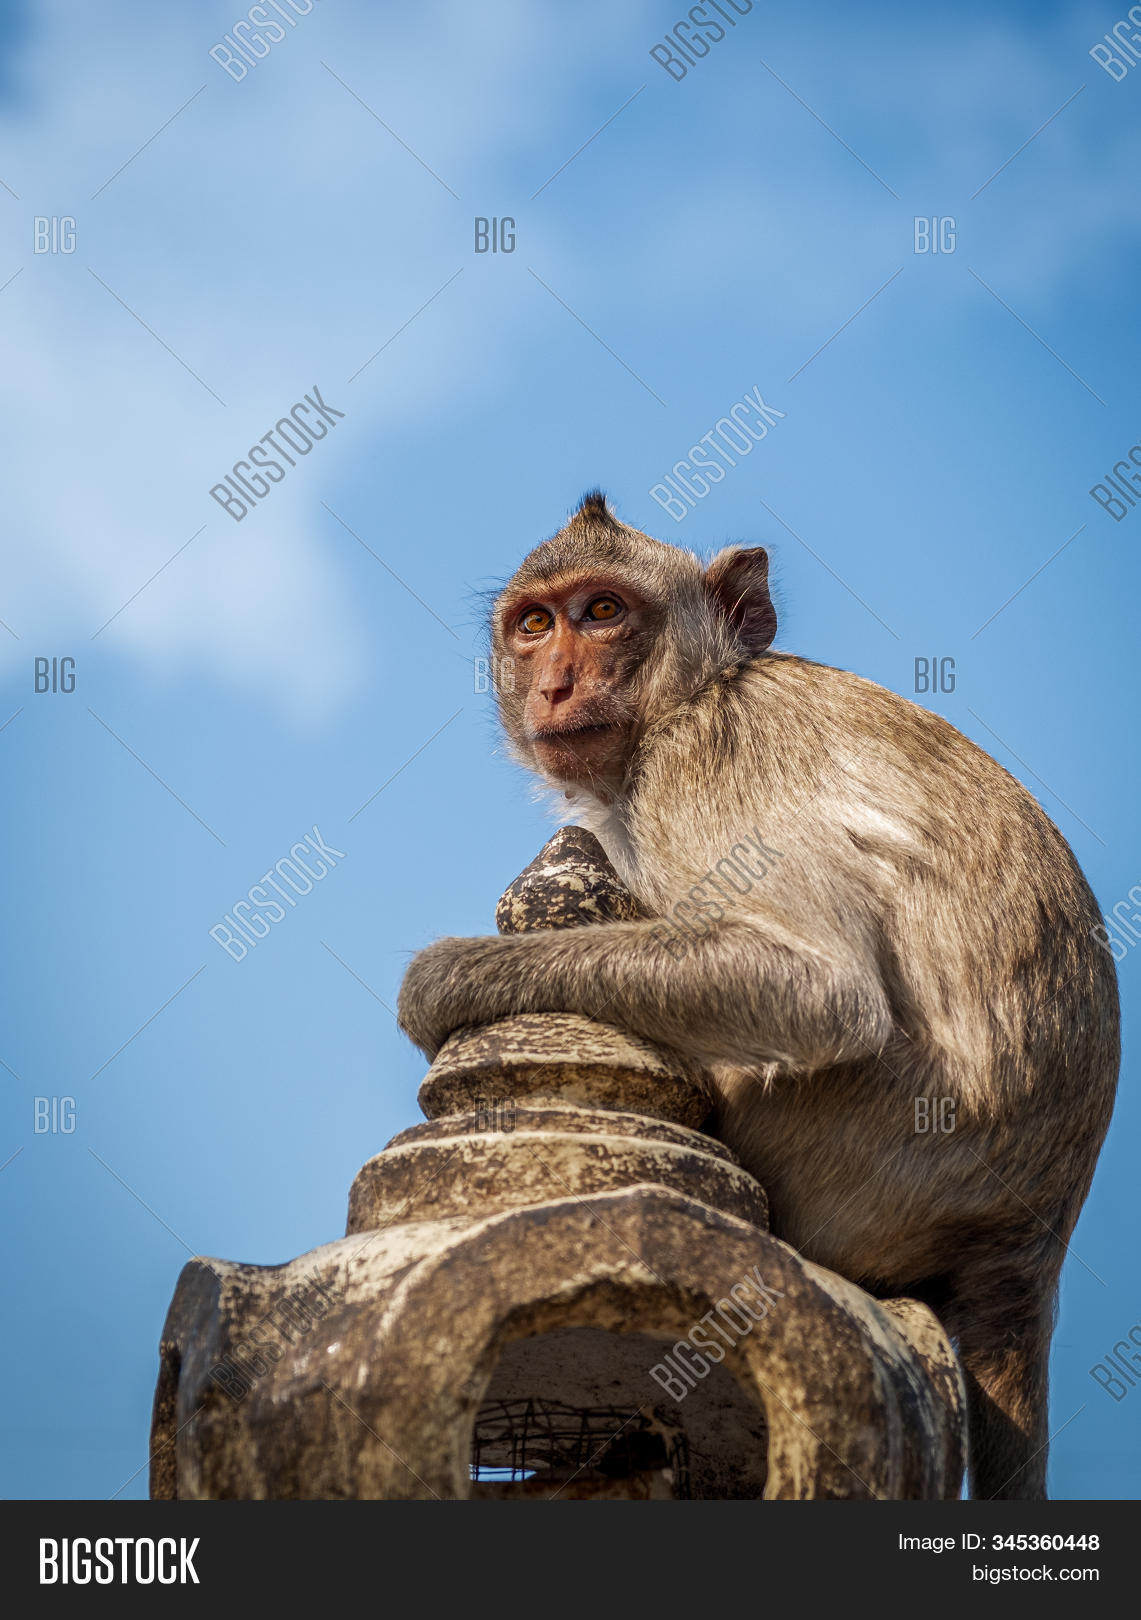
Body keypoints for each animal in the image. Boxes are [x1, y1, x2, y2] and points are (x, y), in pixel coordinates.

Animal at [397, 491, 1119, 1500]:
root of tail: (1030, 1239)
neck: (698, 690)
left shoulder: (699, 761)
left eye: (603, 612)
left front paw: (444, 977)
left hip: (860, 1151)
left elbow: (823, 991)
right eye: (535, 625)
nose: (555, 686)